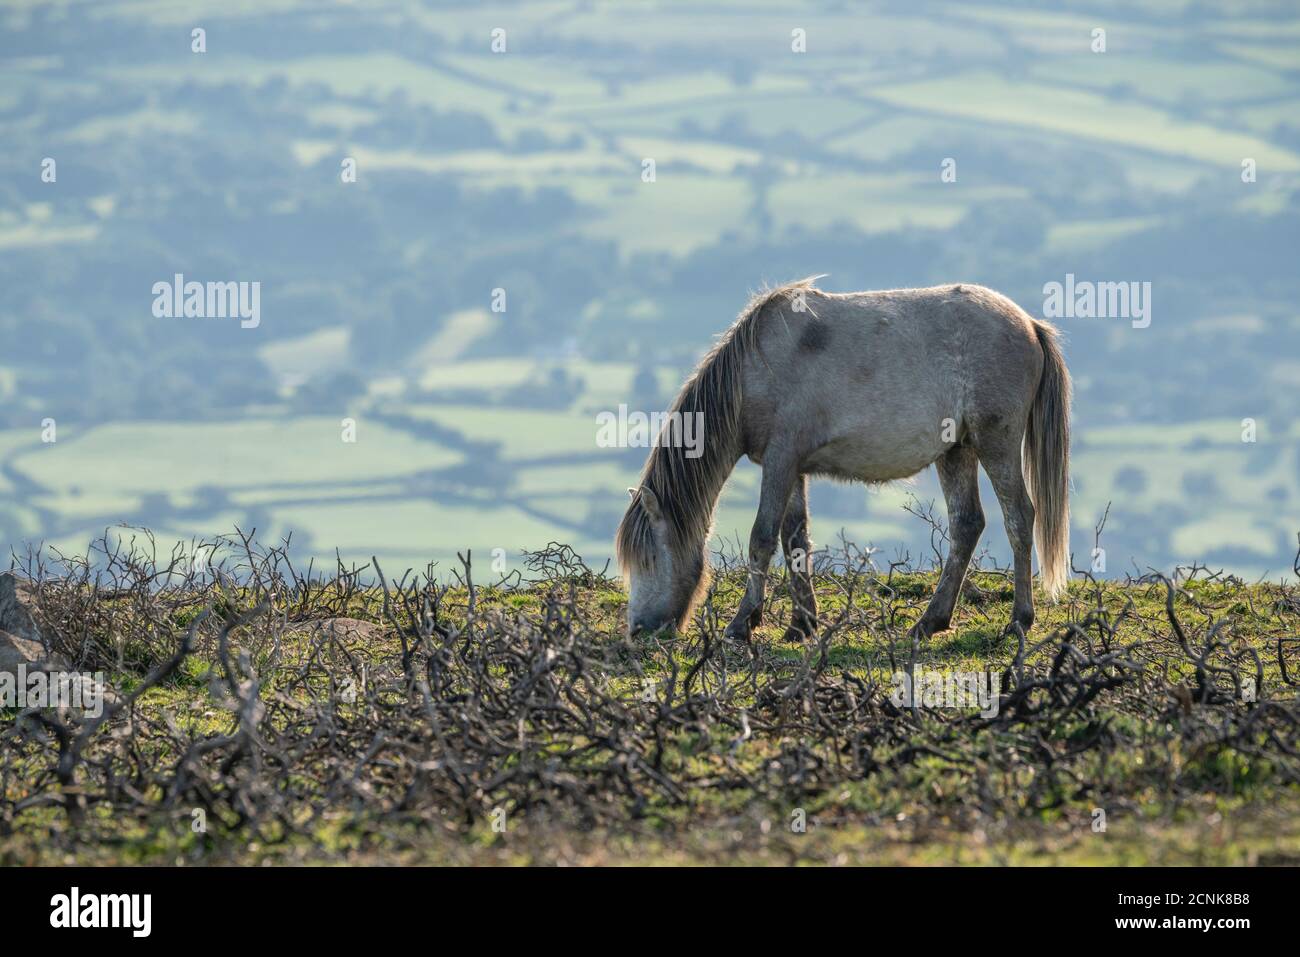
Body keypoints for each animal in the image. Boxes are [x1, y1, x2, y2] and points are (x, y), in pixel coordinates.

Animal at [615, 277, 1071, 642]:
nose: (638, 630)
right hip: (956, 452)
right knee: (966, 525)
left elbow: (762, 538)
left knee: (1019, 519)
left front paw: (743, 623)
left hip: (997, 444)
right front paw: (802, 625)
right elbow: (795, 539)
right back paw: (930, 621)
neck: (757, 368)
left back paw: (1019, 620)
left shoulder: (780, 460)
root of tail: (1030, 325)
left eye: (650, 558)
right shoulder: (792, 466)